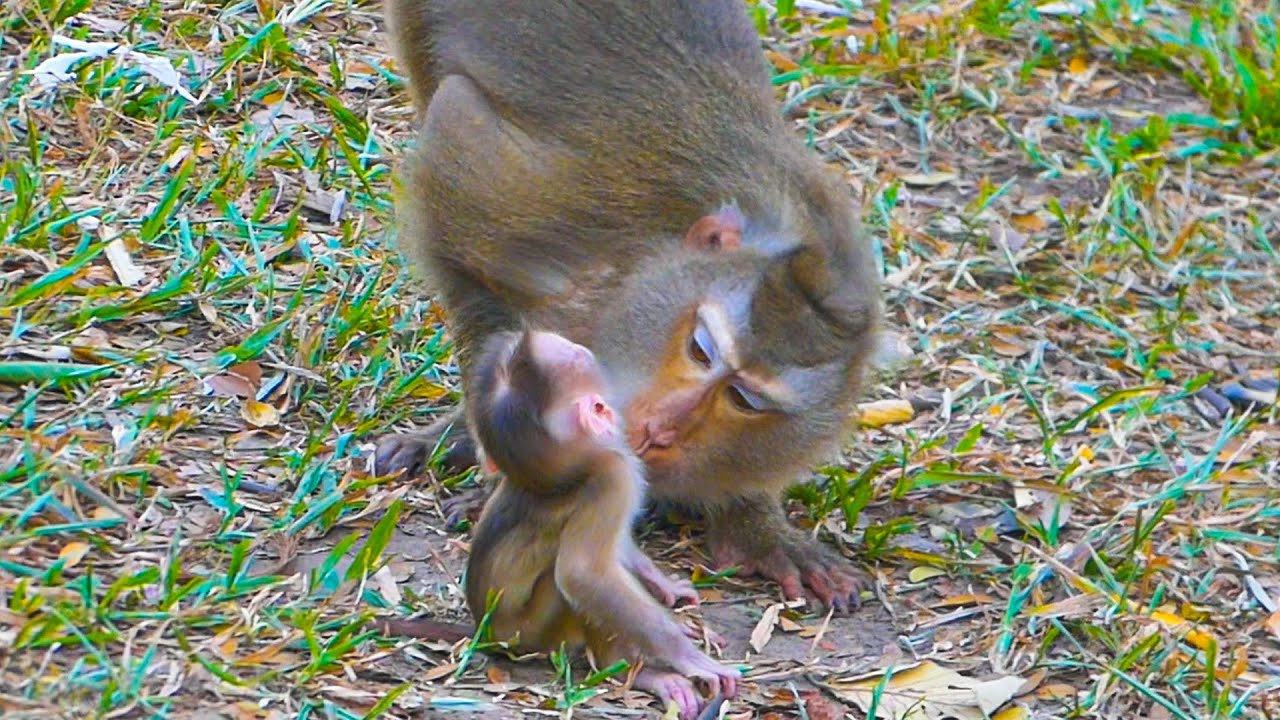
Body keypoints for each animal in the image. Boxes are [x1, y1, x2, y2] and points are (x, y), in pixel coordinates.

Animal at [377, 0, 883, 613]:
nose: (662, 429)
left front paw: (753, 523)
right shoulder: (528, 203)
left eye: (744, 400)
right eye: (700, 348)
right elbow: (460, 206)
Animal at [461, 327, 739, 718]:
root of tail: (486, 636)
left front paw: (665, 586)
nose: (580, 345)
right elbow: (583, 575)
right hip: (533, 633)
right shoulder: (616, 475)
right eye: (573, 356)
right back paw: (636, 673)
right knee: (570, 587)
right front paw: (690, 658)